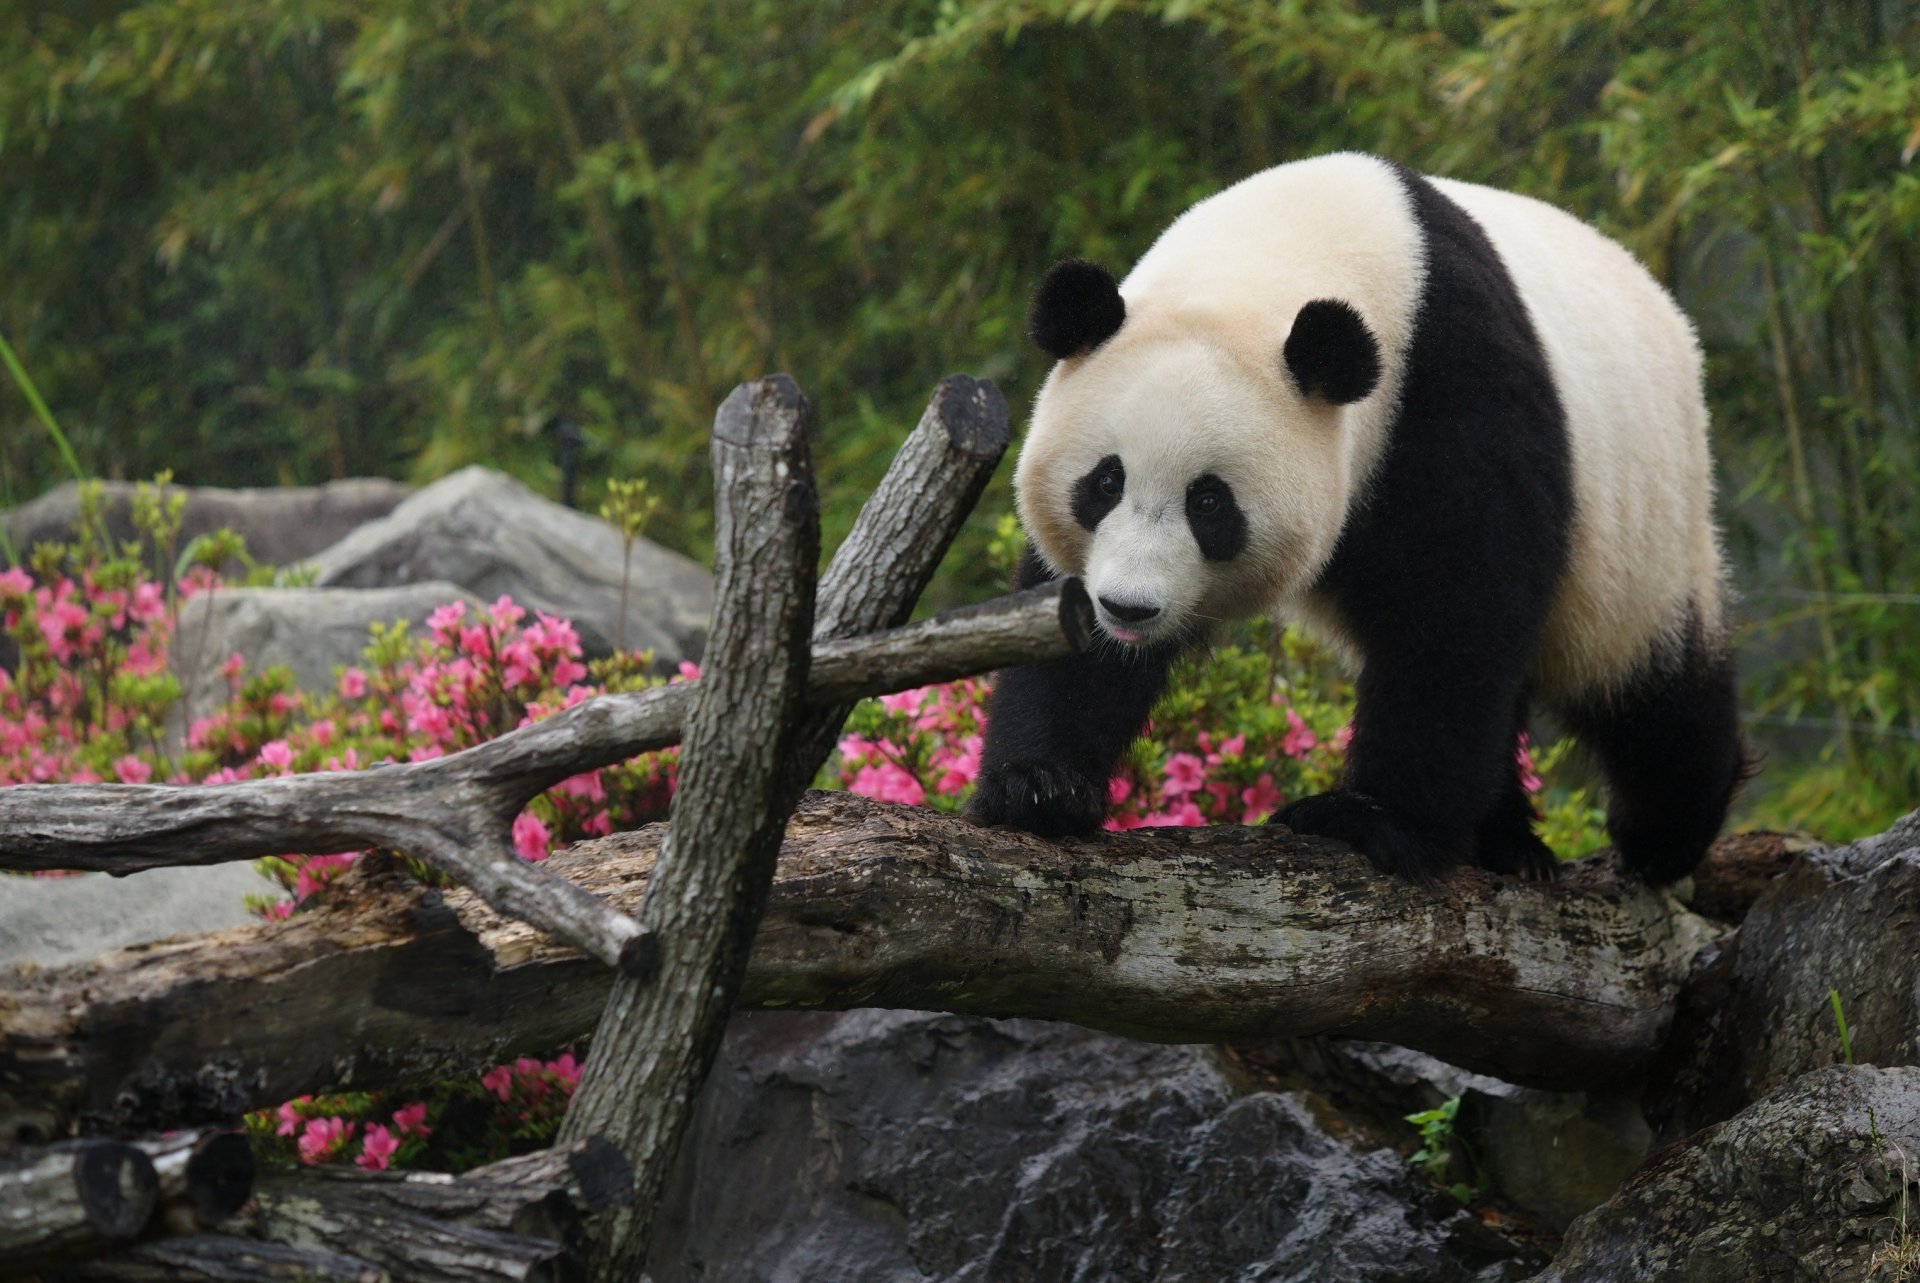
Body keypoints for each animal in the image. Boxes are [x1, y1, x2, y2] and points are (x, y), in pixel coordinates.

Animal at [968, 152, 1746, 885]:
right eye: (1104, 482)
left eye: (1209, 502)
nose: (1129, 607)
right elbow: (1062, 630)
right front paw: (1039, 786)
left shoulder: (1451, 383)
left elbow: (1458, 604)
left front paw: (1368, 822)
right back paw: (1509, 843)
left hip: (1642, 518)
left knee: (1646, 682)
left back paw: (1664, 835)